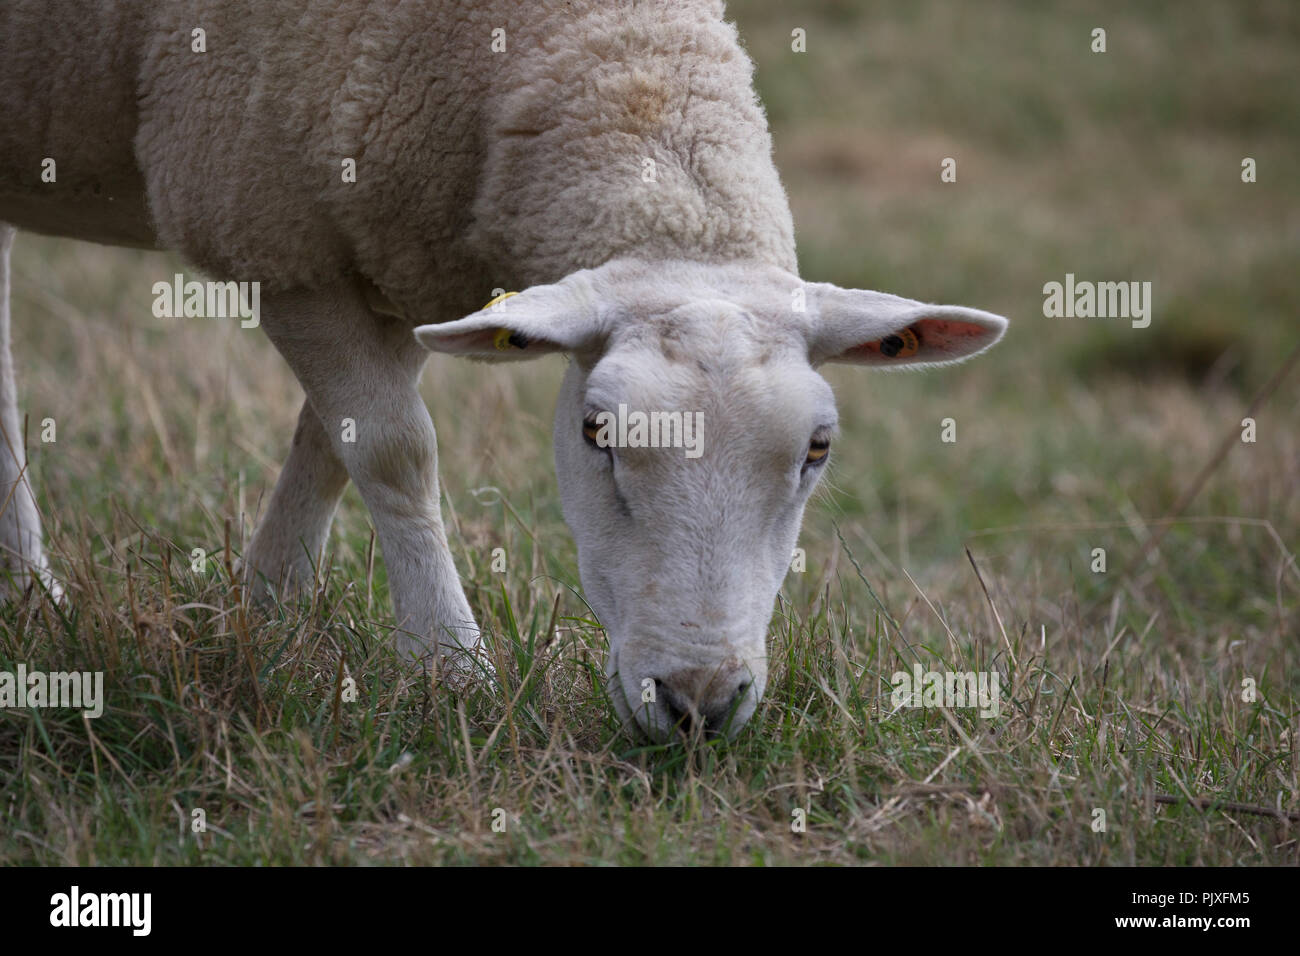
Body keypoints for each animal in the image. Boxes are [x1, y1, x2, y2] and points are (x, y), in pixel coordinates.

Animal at [0, 0, 1007, 740]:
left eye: (818, 450)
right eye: (597, 433)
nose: (699, 706)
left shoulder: (400, 258)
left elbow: (330, 439)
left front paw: (266, 614)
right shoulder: (272, 233)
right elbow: (393, 448)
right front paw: (451, 670)